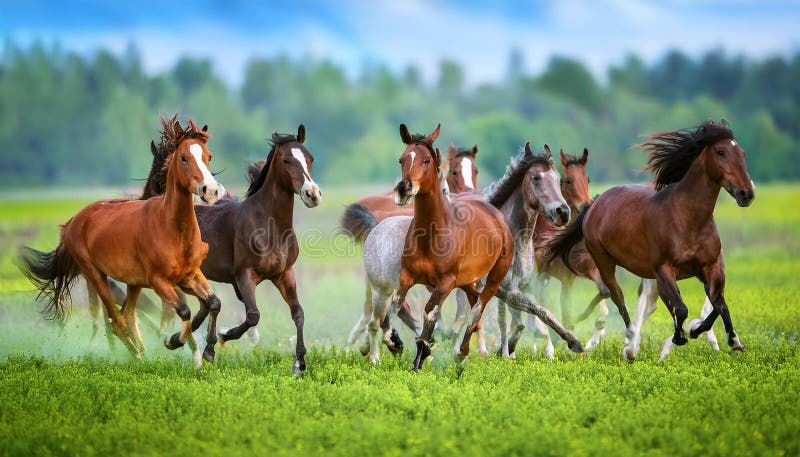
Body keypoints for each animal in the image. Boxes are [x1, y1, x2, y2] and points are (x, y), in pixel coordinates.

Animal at [21, 117, 224, 365]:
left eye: (209, 156)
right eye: (183, 157)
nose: (210, 190)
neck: (173, 230)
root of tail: (72, 222)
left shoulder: (189, 275)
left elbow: (212, 303)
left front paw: (207, 352)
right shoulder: (159, 281)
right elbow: (183, 310)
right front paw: (173, 341)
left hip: (133, 282)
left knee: (127, 314)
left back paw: (142, 350)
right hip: (96, 276)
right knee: (116, 320)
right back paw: (137, 355)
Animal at [392, 123, 515, 371]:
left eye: (426, 160)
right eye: (402, 159)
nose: (404, 188)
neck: (431, 234)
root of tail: (497, 216)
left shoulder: (446, 282)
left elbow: (430, 312)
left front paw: (420, 357)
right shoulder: (407, 276)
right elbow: (398, 305)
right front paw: (397, 343)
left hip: (496, 274)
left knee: (478, 307)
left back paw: (462, 353)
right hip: (467, 281)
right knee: (475, 300)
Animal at [544, 120, 754, 359]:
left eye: (742, 153)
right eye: (720, 152)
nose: (746, 193)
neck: (689, 218)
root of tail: (596, 203)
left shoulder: (709, 268)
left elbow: (719, 305)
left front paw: (728, 339)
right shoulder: (664, 270)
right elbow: (682, 308)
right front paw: (681, 336)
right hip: (604, 262)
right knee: (618, 296)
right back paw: (629, 341)